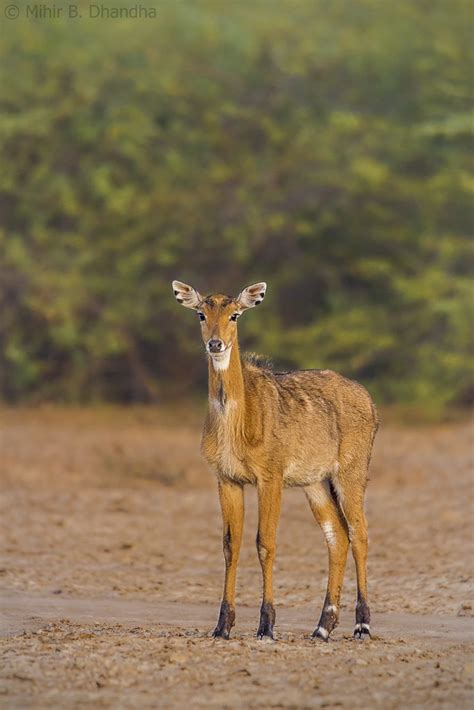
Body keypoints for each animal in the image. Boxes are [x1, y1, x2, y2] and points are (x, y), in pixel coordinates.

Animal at [172, 280, 378, 641]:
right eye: (201, 314)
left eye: (235, 314)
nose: (216, 344)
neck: (237, 423)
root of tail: (371, 403)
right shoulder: (227, 478)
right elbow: (230, 545)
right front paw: (222, 626)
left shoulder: (271, 476)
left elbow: (265, 543)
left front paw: (266, 626)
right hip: (315, 483)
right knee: (337, 536)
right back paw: (322, 627)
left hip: (351, 472)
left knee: (360, 534)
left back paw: (362, 625)